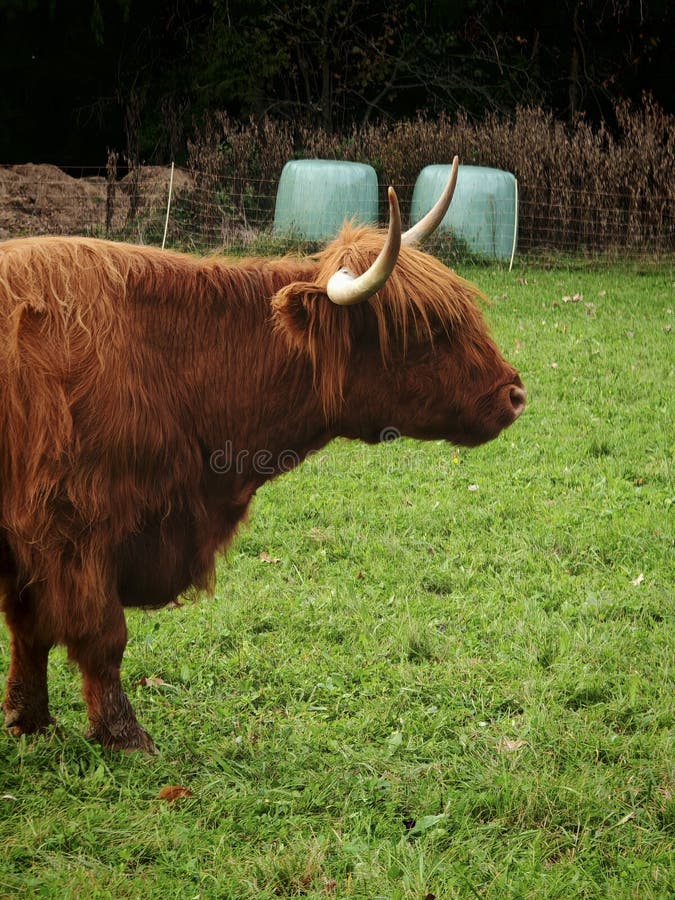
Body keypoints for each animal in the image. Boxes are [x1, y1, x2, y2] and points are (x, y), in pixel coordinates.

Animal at [0, 158, 525, 752]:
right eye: (428, 329)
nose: (514, 393)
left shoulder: (29, 546)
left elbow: (29, 629)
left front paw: (29, 719)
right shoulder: (71, 529)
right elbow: (99, 635)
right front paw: (124, 734)